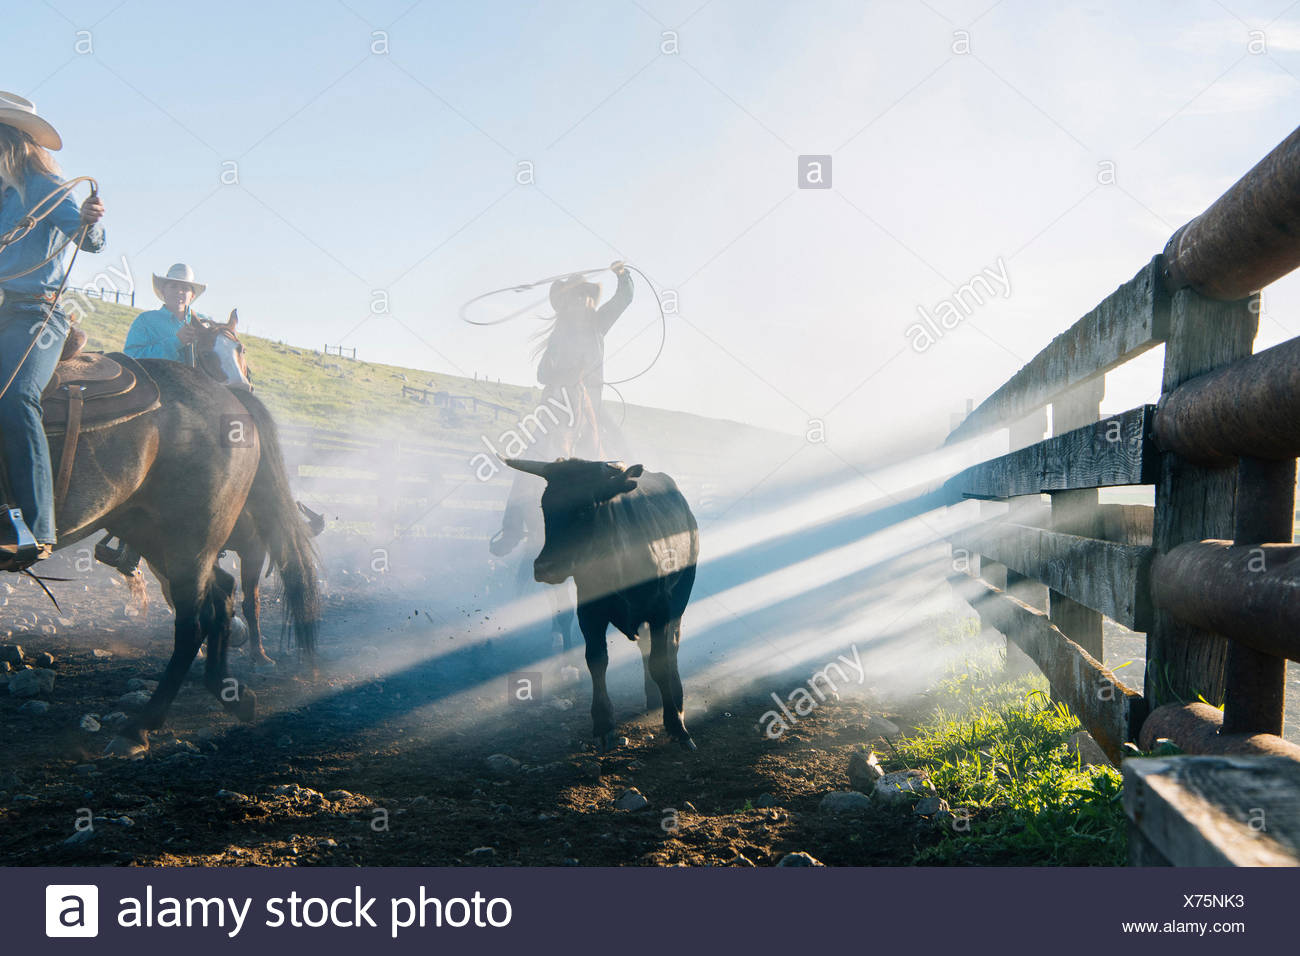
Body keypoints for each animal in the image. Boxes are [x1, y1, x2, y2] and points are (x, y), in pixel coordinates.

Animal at [503, 457, 700, 752]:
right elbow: (597, 661)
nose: (544, 568)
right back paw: (653, 696)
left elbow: (661, 662)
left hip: (682, 593)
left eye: (585, 509)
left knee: (671, 647)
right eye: (545, 506)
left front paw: (676, 725)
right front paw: (604, 725)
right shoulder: (589, 613)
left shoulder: (661, 610)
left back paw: (675, 699)